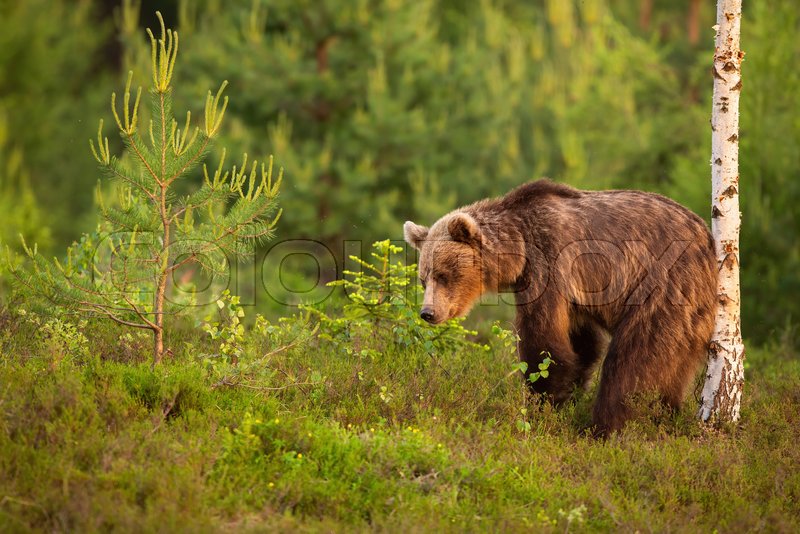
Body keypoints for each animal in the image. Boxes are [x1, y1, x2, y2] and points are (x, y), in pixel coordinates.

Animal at [403, 179, 716, 435]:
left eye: (443, 275)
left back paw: (604, 428)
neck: (518, 249)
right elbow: (582, 345)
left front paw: (541, 407)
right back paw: (666, 417)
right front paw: (568, 396)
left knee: (631, 364)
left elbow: (545, 345)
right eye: (423, 278)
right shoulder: (576, 297)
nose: (428, 313)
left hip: (663, 291)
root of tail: (709, 245)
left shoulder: (551, 263)